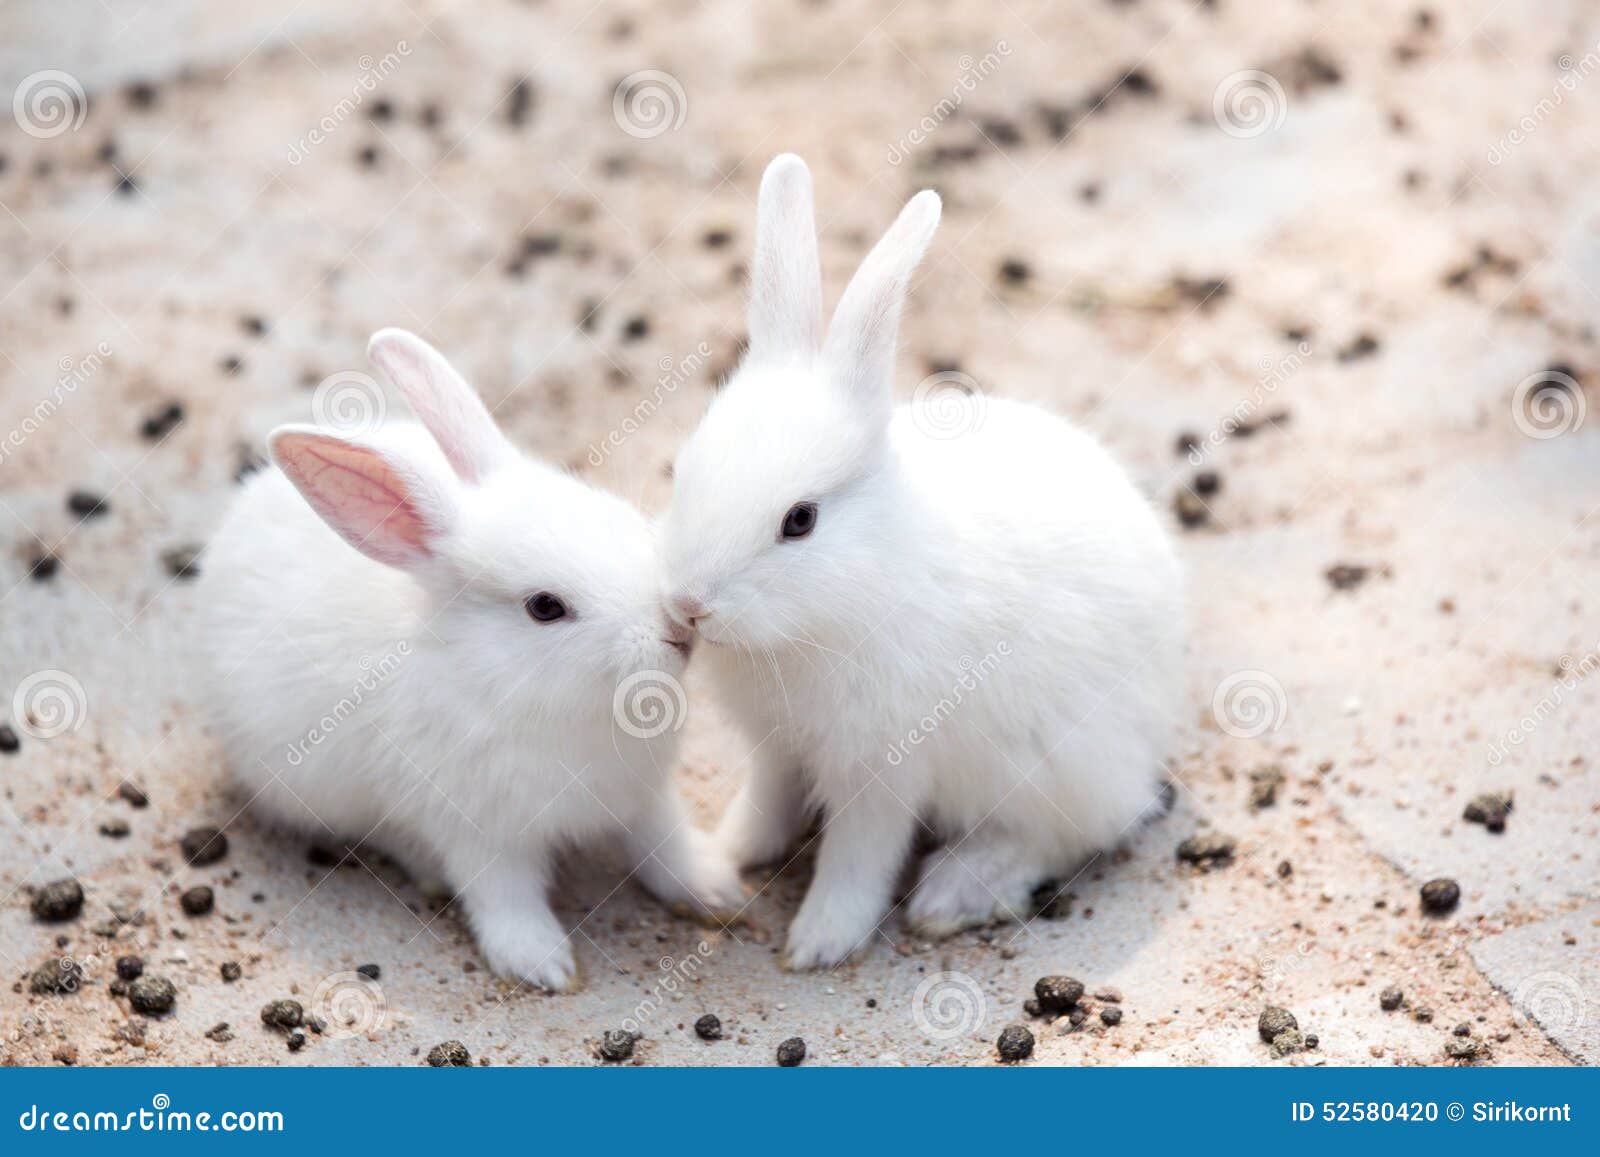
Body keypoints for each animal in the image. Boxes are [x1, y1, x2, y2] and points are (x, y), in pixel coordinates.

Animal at [196, 329, 743, 991]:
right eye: (544, 607)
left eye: (624, 519)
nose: (677, 634)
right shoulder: (479, 834)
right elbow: (504, 897)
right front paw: (543, 965)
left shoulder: (644, 798)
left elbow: (665, 845)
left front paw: (718, 891)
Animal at [659, 155, 1185, 969]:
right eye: (683, 471)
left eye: (800, 521)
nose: (689, 603)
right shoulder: (780, 749)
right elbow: (768, 805)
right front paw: (733, 852)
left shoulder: (882, 769)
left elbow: (858, 857)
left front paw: (819, 942)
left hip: (1055, 764)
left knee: (1071, 833)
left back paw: (955, 892)